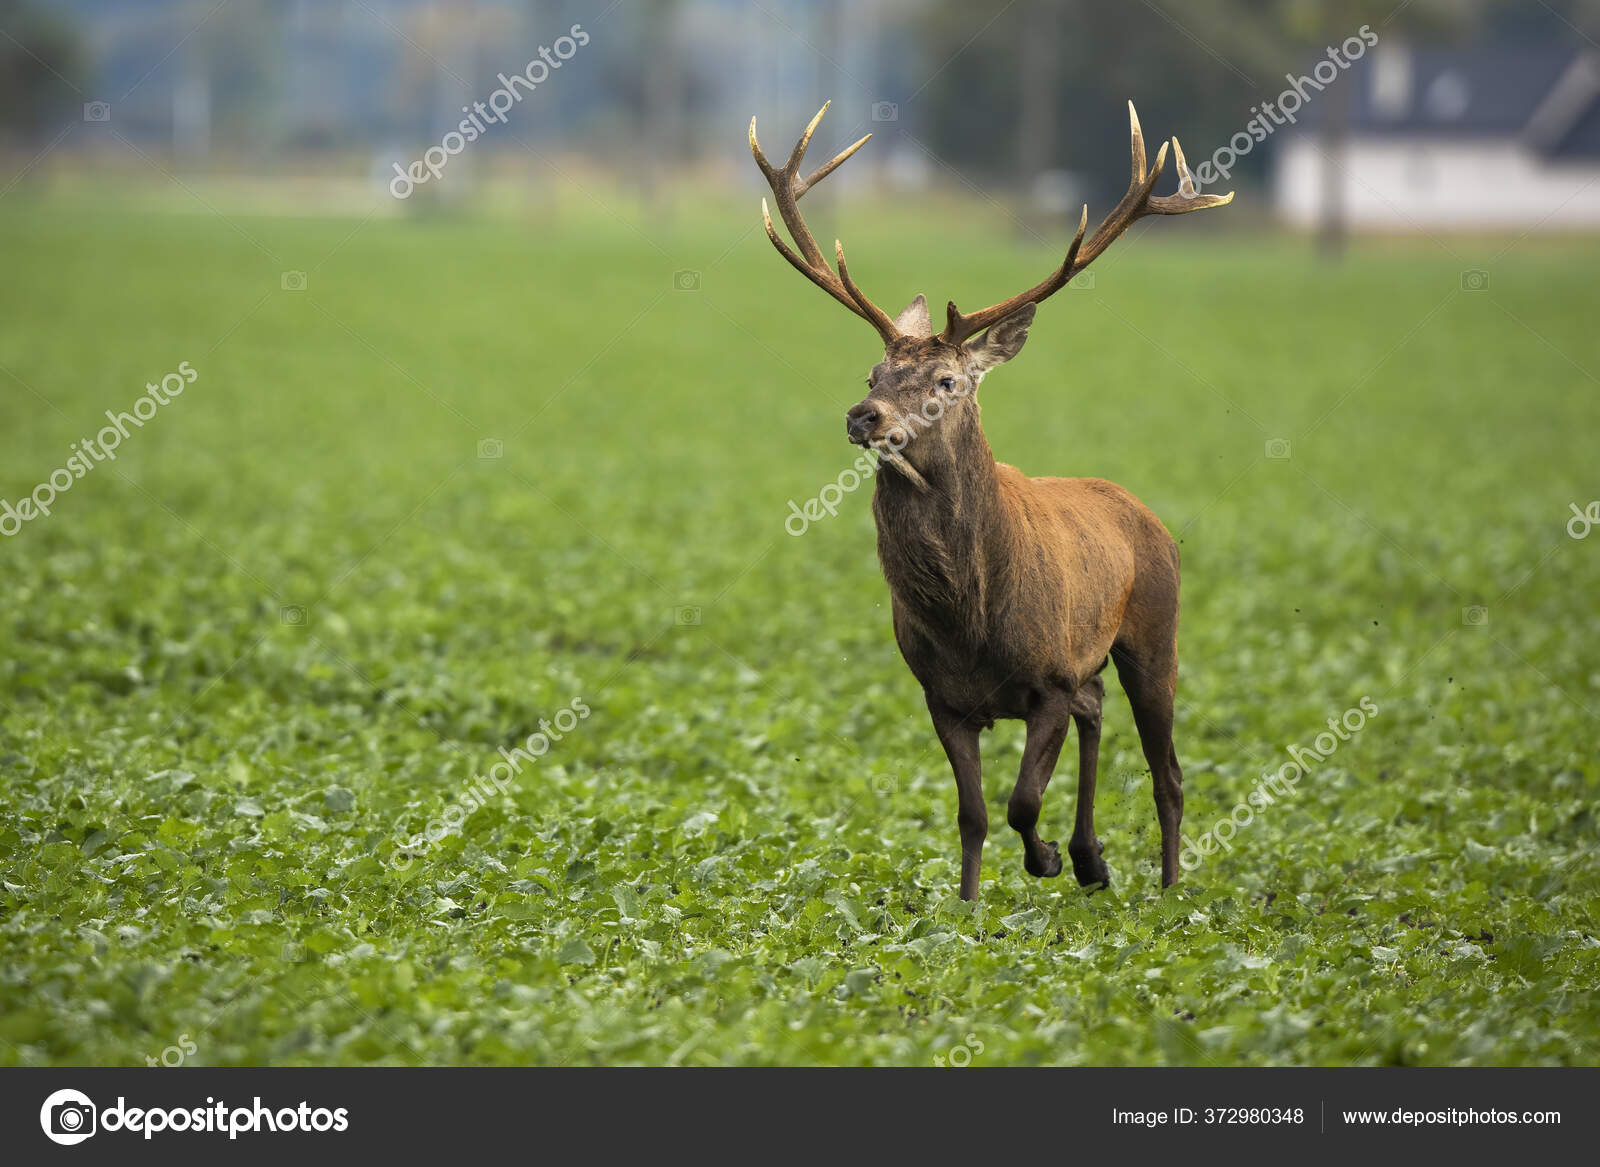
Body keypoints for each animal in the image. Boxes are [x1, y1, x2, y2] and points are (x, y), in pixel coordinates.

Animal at [750, 101, 1232, 901]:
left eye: (947, 381)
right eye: (873, 371)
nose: (863, 416)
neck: (970, 620)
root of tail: (1146, 514)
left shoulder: (1050, 678)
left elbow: (1021, 802)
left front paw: (1043, 858)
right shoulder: (941, 695)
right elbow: (972, 814)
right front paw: (972, 905)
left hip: (1154, 632)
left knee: (1168, 771)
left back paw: (1165, 890)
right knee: (1100, 715)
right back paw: (1094, 858)